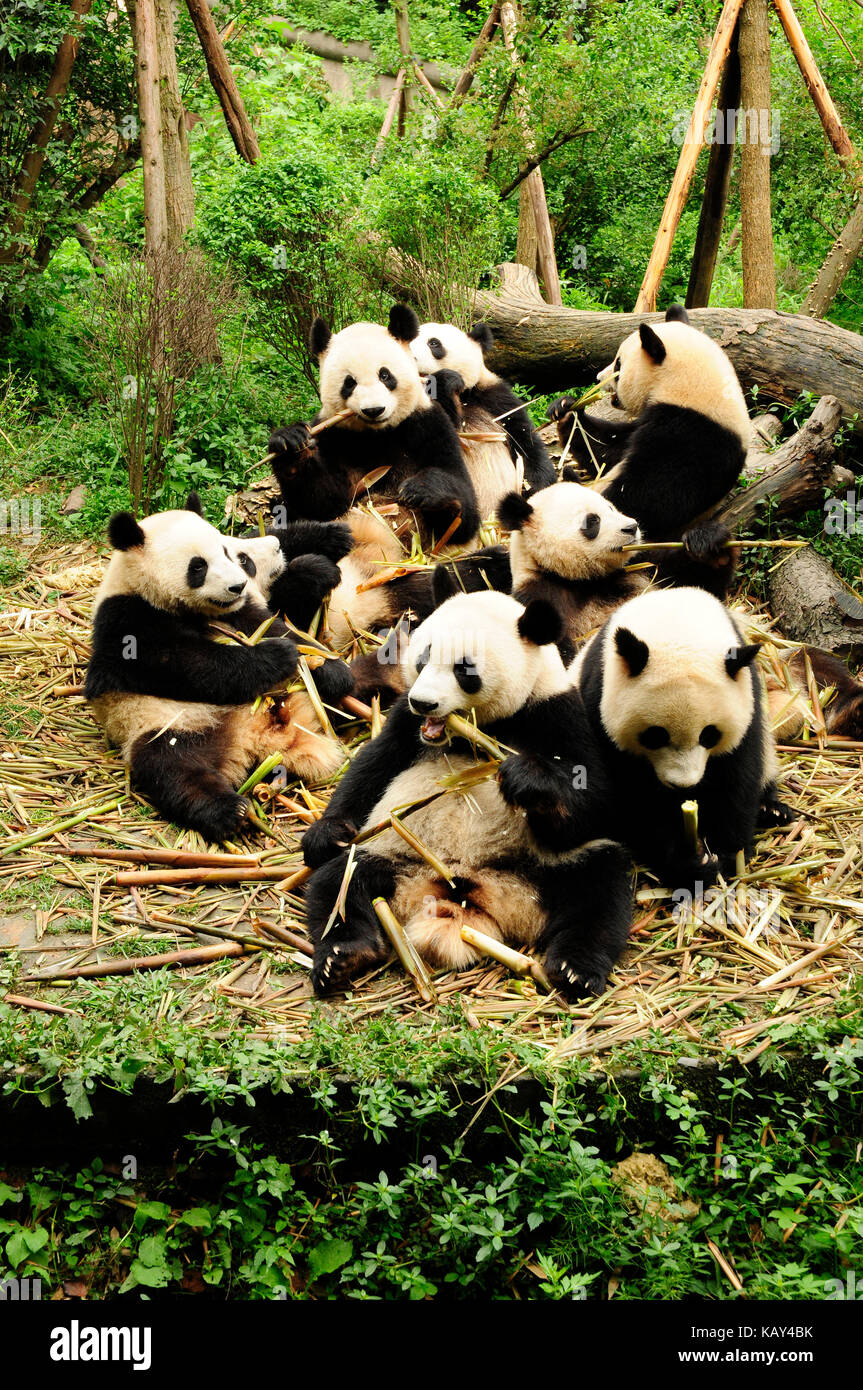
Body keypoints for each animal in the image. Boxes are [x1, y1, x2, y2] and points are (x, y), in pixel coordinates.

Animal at [85, 504, 345, 842]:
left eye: (227, 553)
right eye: (198, 567)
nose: (237, 585)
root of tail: (251, 737)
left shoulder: (240, 611)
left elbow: (276, 625)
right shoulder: (124, 619)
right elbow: (186, 663)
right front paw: (277, 656)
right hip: (163, 726)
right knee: (172, 769)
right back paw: (229, 812)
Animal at [267, 305, 481, 548]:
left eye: (385, 375)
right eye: (349, 382)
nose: (374, 410)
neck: (378, 434)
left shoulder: (429, 425)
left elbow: (464, 515)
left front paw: (420, 489)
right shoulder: (333, 434)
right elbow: (321, 504)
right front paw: (290, 444)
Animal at [301, 589, 633, 1000]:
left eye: (465, 670)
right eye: (424, 657)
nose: (424, 702)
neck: (474, 731)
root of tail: (464, 893)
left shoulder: (557, 714)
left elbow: (595, 801)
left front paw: (525, 779)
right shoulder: (405, 723)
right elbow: (371, 769)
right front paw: (325, 833)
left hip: (543, 868)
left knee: (599, 889)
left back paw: (575, 970)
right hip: (392, 857)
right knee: (341, 883)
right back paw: (343, 956)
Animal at [549, 305, 750, 545]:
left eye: (619, 364)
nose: (598, 378)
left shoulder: (695, 435)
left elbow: (653, 495)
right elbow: (609, 450)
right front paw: (566, 410)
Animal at [571, 586, 792, 894]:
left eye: (709, 735)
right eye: (655, 735)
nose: (683, 785)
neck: (677, 623)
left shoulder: (747, 702)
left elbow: (737, 779)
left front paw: (725, 856)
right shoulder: (599, 701)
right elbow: (633, 796)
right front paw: (690, 865)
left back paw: (773, 810)